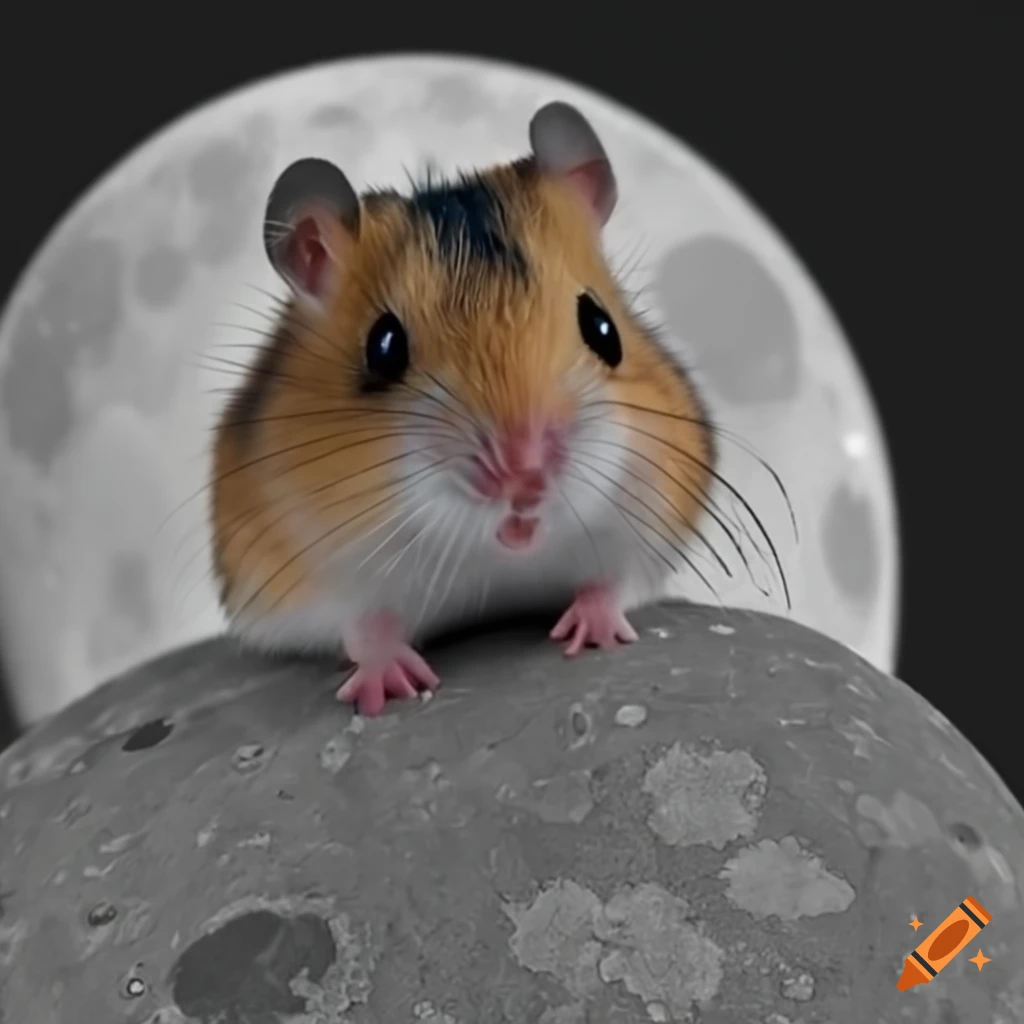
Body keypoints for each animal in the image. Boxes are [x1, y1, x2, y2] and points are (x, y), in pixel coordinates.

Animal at [209, 100, 717, 716]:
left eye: (603, 328)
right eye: (383, 347)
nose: (527, 479)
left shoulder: (648, 524)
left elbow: (612, 581)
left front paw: (589, 635)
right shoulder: (302, 572)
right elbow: (365, 626)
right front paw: (385, 693)